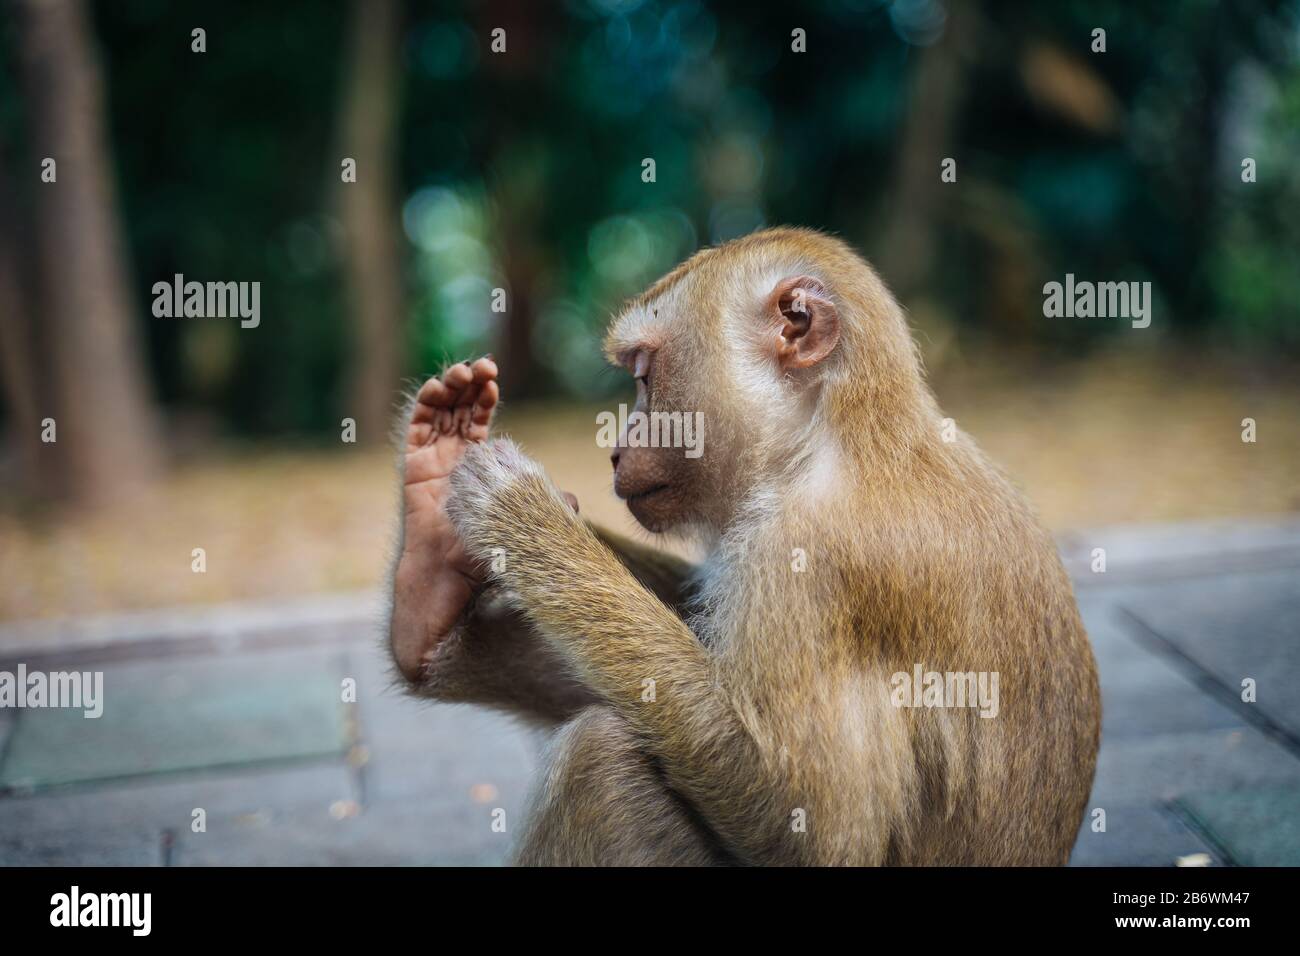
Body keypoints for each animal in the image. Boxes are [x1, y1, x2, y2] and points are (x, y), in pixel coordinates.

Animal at [387, 227, 1101, 866]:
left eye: (645, 374)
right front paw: (440, 563)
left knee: (601, 761)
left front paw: (523, 518)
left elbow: (820, 830)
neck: (835, 437)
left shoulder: (809, 558)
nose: (617, 448)